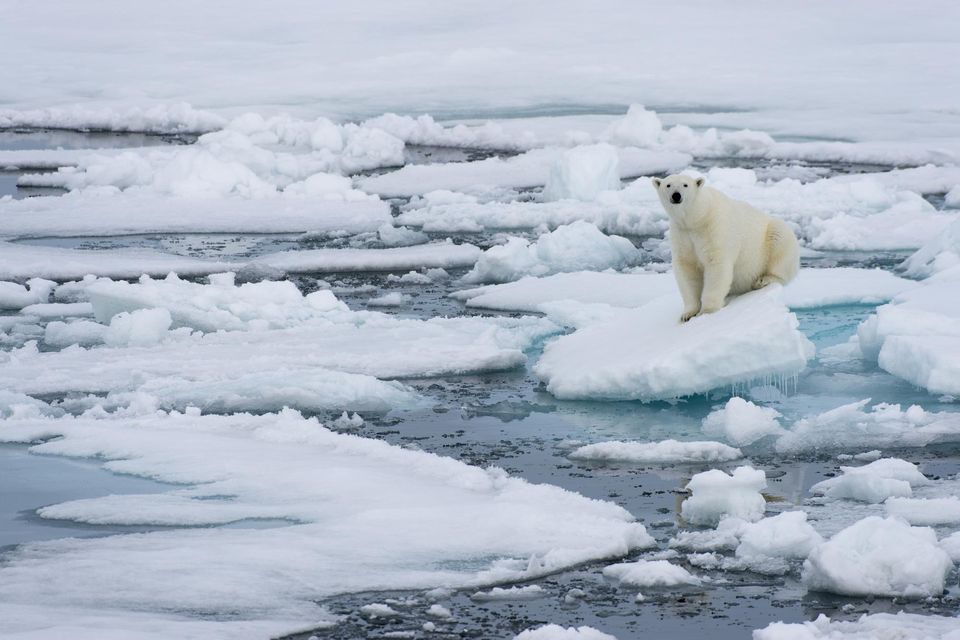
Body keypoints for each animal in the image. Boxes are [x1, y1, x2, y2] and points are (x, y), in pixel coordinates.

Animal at [652, 174, 800, 322]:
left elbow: (716, 265)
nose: (676, 195)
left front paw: (706, 311)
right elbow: (687, 269)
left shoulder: (713, 228)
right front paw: (688, 314)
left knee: (780, 243)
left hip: (770, 238)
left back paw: (763, 280)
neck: (697, 217)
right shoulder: (682, 234)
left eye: (685, 185)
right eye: (668, 185)